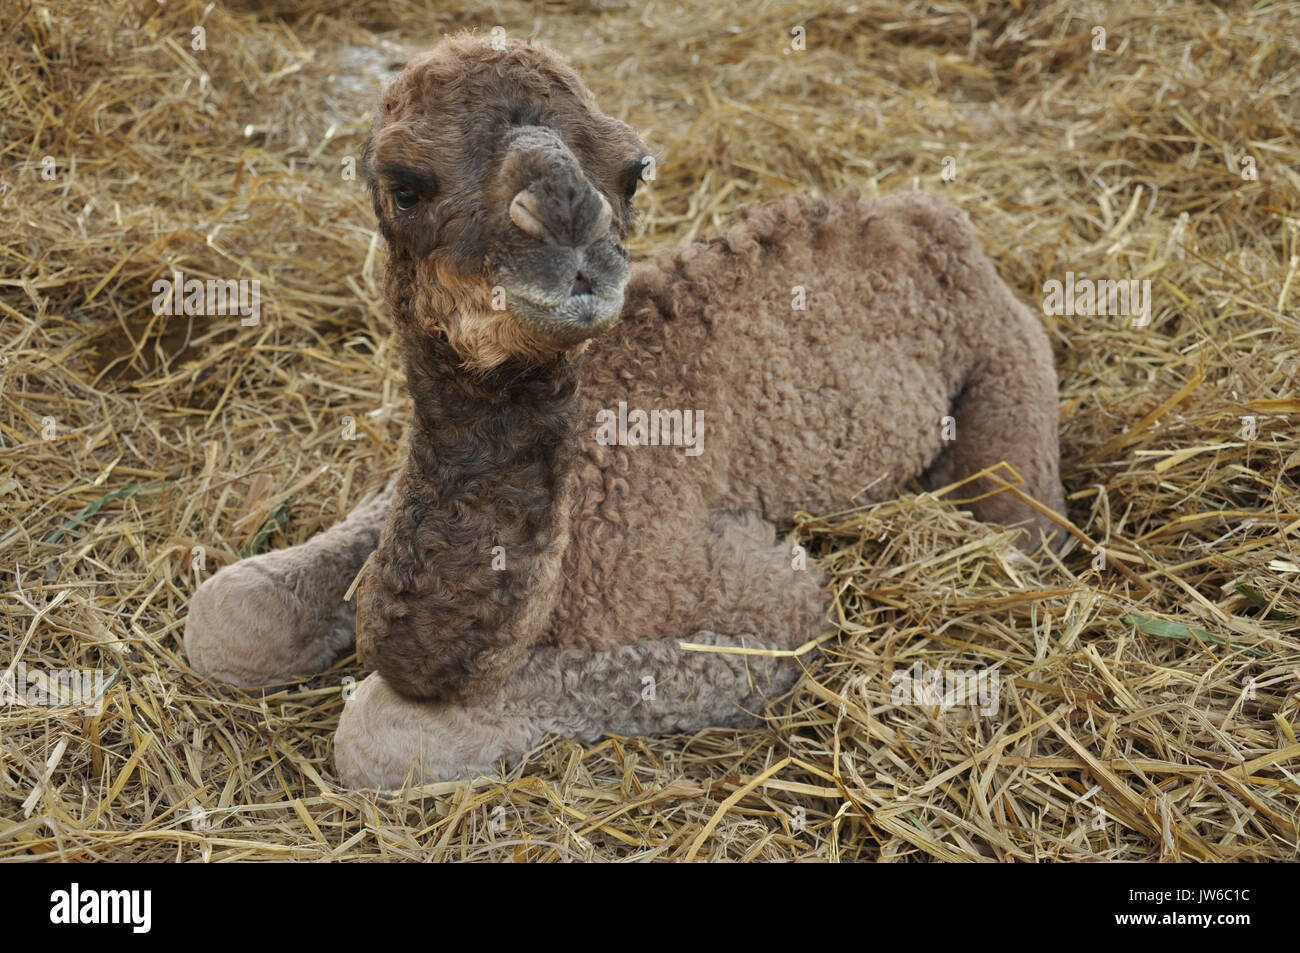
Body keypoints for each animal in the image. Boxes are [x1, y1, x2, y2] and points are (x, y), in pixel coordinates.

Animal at [184, 34, 1066, 788]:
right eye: (405, 184)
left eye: (633, 169)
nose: (568, 216)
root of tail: (934, 220)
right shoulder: (390, 500)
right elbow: (226, 611)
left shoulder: (767, 595)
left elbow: (382, 728)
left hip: (1010, 352)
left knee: (1024, 521)